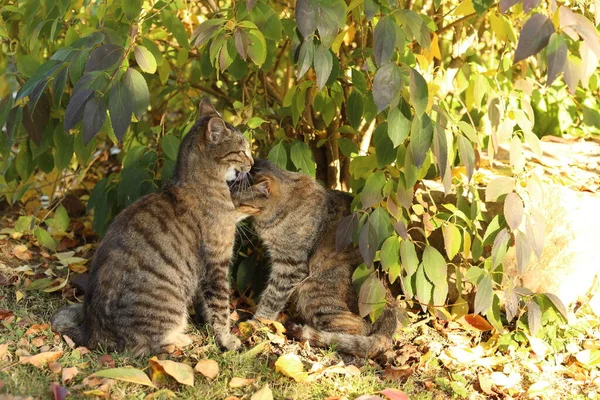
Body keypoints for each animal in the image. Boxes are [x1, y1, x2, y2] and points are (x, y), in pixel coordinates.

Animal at [48, 98, 251, 354]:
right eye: (242, 151)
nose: (253, 162)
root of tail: (91, 333)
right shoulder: (217, 264)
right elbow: (220, 306)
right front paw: (226, 338)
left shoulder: (204, 273)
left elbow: (207, 305)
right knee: (145, 344)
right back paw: (182, 338)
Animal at [232, 158, 396, 358]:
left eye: (235, 201)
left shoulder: (291, 266)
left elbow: (272, 297)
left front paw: (257, 322)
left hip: (314, 291)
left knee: (354, 334)